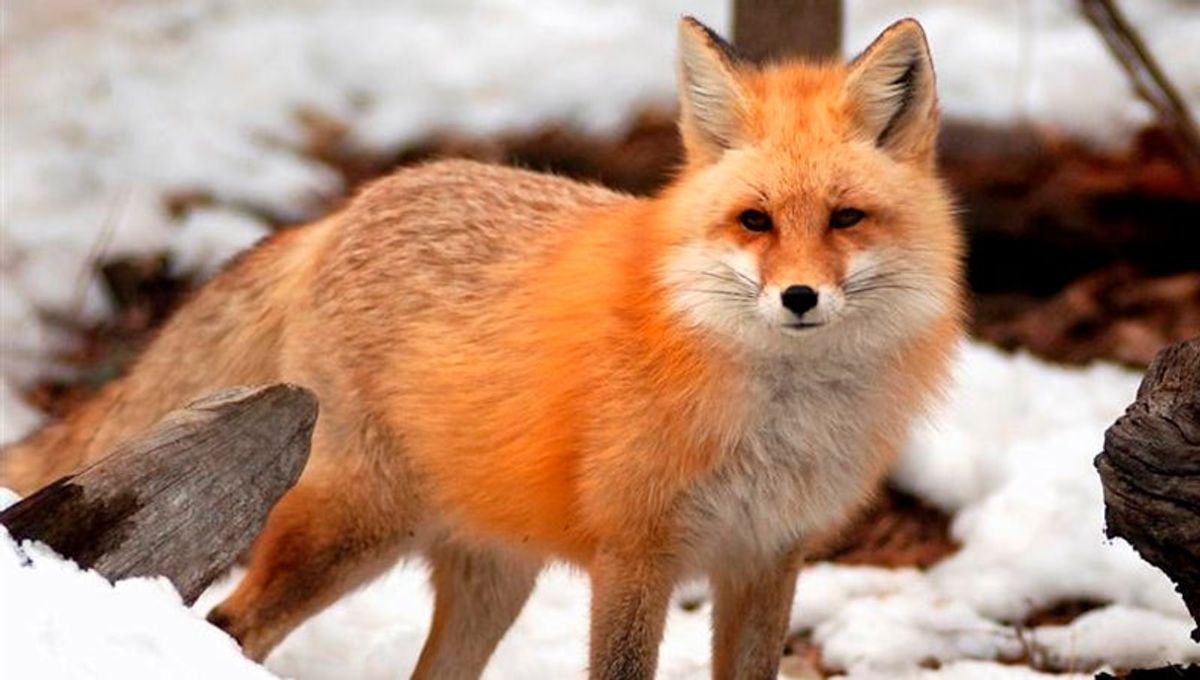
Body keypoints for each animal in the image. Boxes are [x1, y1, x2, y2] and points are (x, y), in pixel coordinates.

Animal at [1, 16, 962, 679]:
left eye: (846, 218)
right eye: (755, 222)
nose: (798, 298)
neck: (776, 420)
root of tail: (350, 209)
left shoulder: (765, 556)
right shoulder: (635, 555)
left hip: (494, 577)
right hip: (353, 528)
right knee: (229, 627)